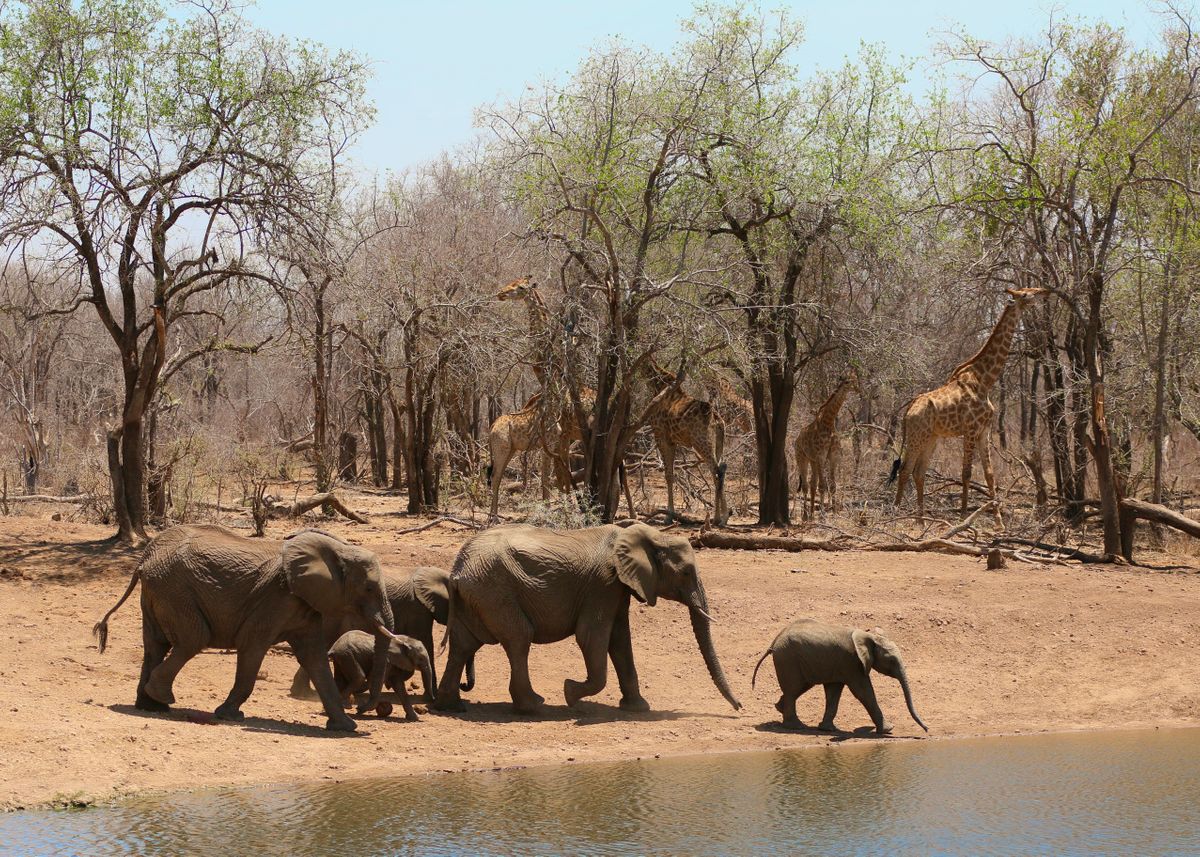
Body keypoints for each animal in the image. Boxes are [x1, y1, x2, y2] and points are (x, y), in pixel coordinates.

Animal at [93, 525, 403, 732]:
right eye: (369, 588)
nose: (364, 709)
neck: (338, 548)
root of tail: (144, 560)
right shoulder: (276, 599)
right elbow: (253, 647)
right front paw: (229, 716)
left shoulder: (304, 603)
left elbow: (313, 656)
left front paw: (344, 727)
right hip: (175, 591)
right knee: (192, 640)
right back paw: (162, 698)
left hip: (159, 592)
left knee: (156, 645)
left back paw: (152, 706)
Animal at [288, 565, 475, 701]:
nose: (463, 685)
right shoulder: (418, 609)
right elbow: (425, 641)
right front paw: (431, 697)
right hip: (331, 614)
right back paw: (303, 693)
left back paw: (302, 692)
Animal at [432, 522, 741, 715]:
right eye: (687, 572)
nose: (740, 708)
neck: (645, 535)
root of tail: (457, 568)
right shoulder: (602, 584)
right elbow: (591, 636)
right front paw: (570, 693)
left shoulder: (617, 587)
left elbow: (620, 640)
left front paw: (638, 709)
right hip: (494, 590)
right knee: (519, 638)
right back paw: (534, 706)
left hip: (479, 594)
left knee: (463, 644)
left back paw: (451, 706)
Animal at [752, 619, 928, 735]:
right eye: (891, 660)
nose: (927, 730)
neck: (868, 636)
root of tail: (774, 641)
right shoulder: (852, 662)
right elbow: (864, 692)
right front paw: (888, 729)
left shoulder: (840, 666)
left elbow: (834, 693)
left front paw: (828, 729)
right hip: (788, 659)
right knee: (793, 690)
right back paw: (796, 727)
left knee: (797, 689)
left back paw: (780, 709)